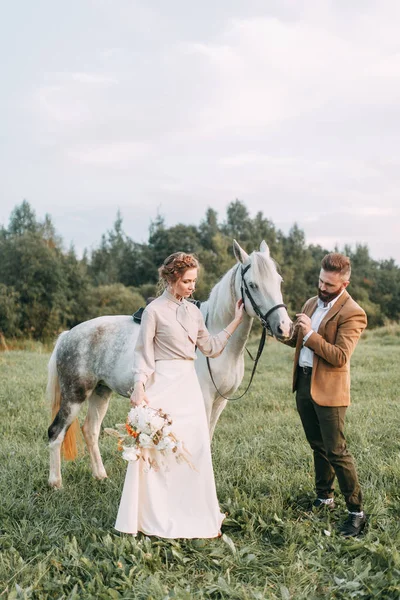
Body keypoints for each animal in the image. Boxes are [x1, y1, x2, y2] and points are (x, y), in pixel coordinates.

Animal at [47, 239, 290, 488]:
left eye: (279, 281)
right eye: (252, 285)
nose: (284, 327)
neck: (215, 338)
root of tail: (67, 335)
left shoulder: (220, 402)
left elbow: (208, 437)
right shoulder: (203, 400)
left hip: (101, 392)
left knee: (91, 430)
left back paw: (100, 476)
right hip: (74, 396)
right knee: (56, 433)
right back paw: (56, 483)